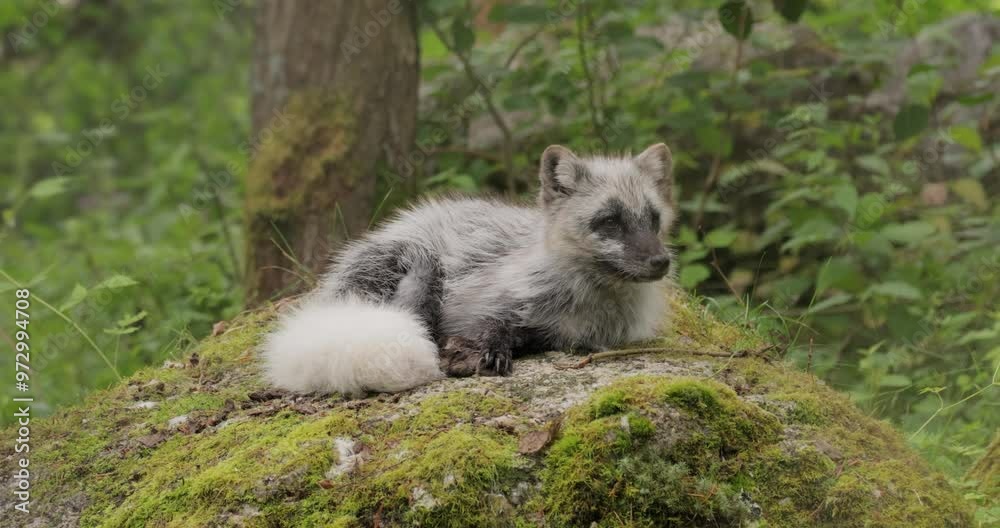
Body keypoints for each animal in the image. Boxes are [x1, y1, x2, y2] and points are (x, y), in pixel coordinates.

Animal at [262, 143, 677, 395]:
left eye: (653, 219)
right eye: (609, 221)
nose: (661, 262)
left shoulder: (557, 334)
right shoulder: (476, 304)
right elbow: (490, 326)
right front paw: (485, 352)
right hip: (420, 265)